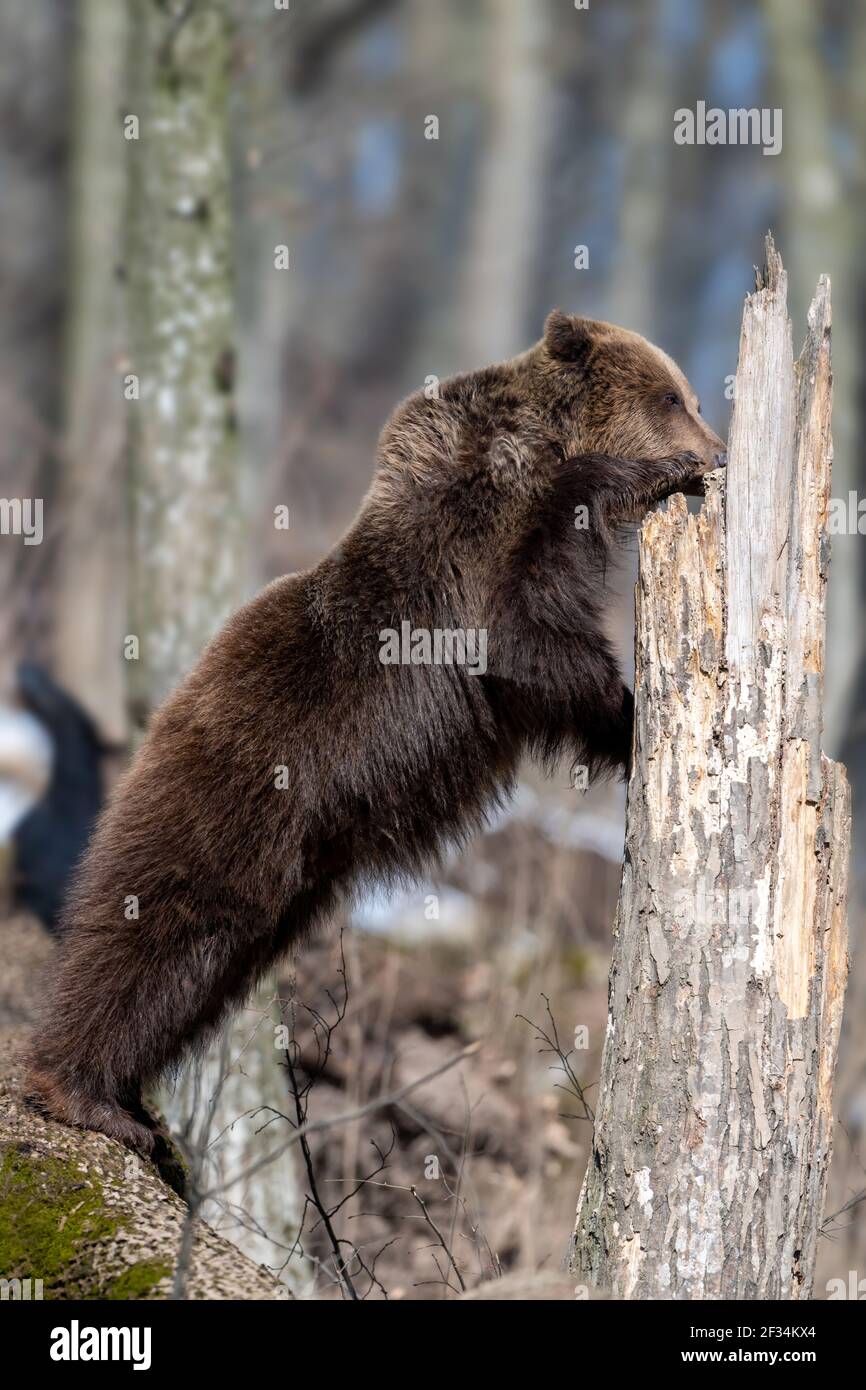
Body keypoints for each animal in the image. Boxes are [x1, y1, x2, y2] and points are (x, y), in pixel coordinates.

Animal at [27, 311, 726, 1155]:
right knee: (156, 926)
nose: (715, 450)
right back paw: (82, 1092)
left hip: (291, 880)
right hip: (236, 789)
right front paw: (628, 707)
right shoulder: (479, 556)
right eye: (672, 396)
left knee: (205, 970)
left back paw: (129, 1096)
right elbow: (526, 637)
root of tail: (157, 721)